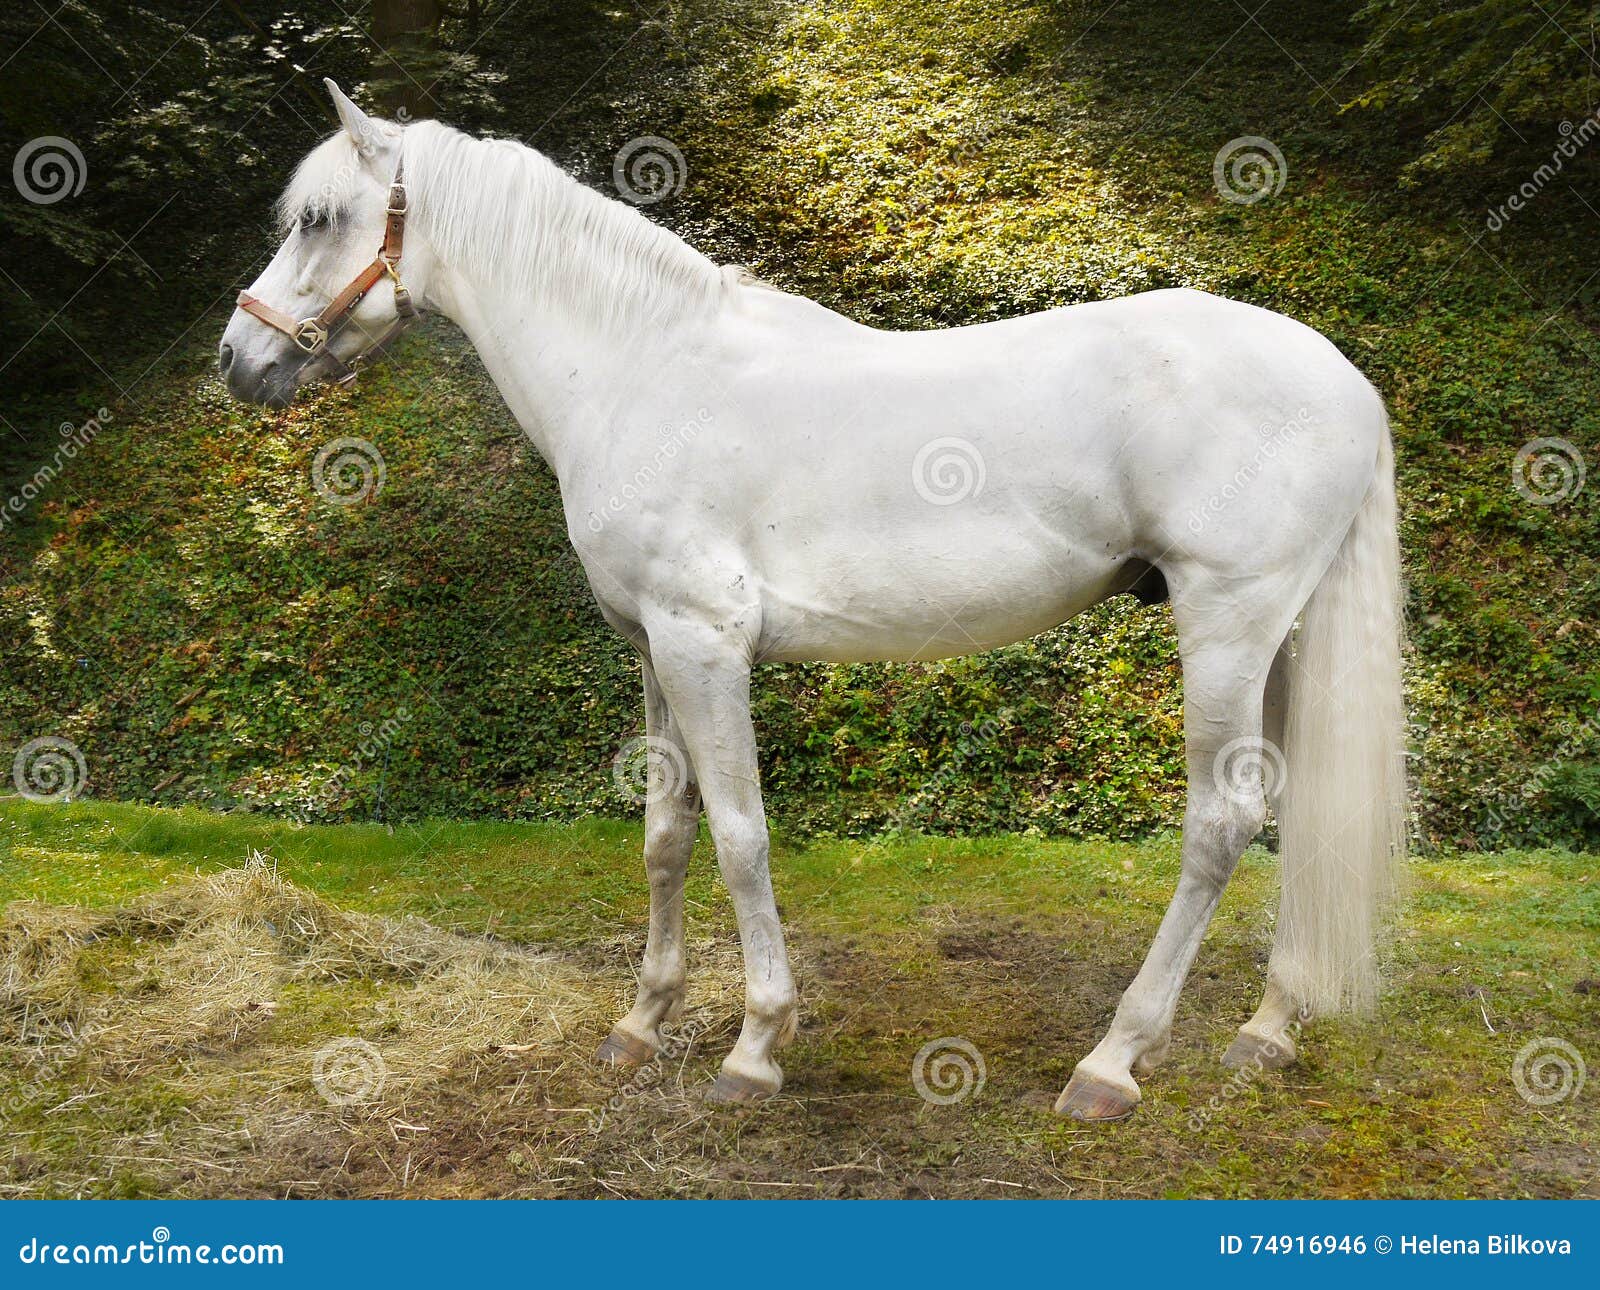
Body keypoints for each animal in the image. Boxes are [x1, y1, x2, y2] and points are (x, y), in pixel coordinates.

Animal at [218, 81, 1406, 1120]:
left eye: (319, 218)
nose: (239, 359)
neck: (643, 371)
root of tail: (1344, 377)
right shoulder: (651, 650)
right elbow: (665, 833)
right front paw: (640, 1024)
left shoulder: (704, 645)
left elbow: (741, 836)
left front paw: (754, 1047)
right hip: (1280, 639)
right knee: (1292, 813)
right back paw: (1268, 1030)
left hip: (1226, 626)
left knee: (1219, 824)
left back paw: (1113, 1062)